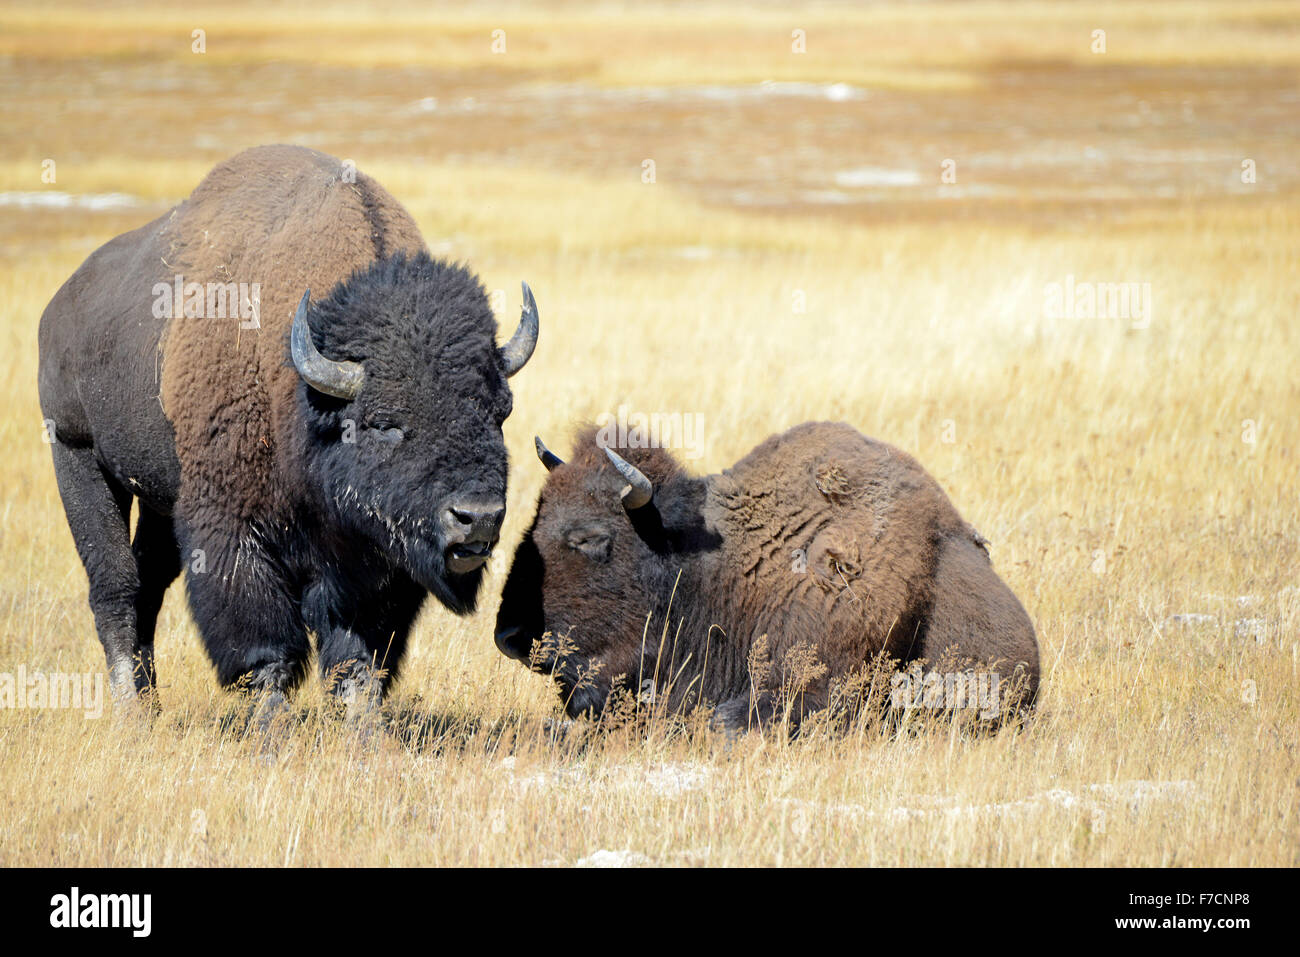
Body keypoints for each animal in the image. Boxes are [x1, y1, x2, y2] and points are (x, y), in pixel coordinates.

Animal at [38, 145, 538, 717]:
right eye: (386, 423)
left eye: (499, 412)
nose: (477, 518)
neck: (305, 396)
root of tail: (59, 309)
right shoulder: (233, 530)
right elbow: (266, 648)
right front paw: (270, 725)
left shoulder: (372, 565)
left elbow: (359, 656)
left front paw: (363, 728)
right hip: (76, 455)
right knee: (115, 584)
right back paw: (130, 711)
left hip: (159, 498)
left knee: (148, 582)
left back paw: (149, 704)